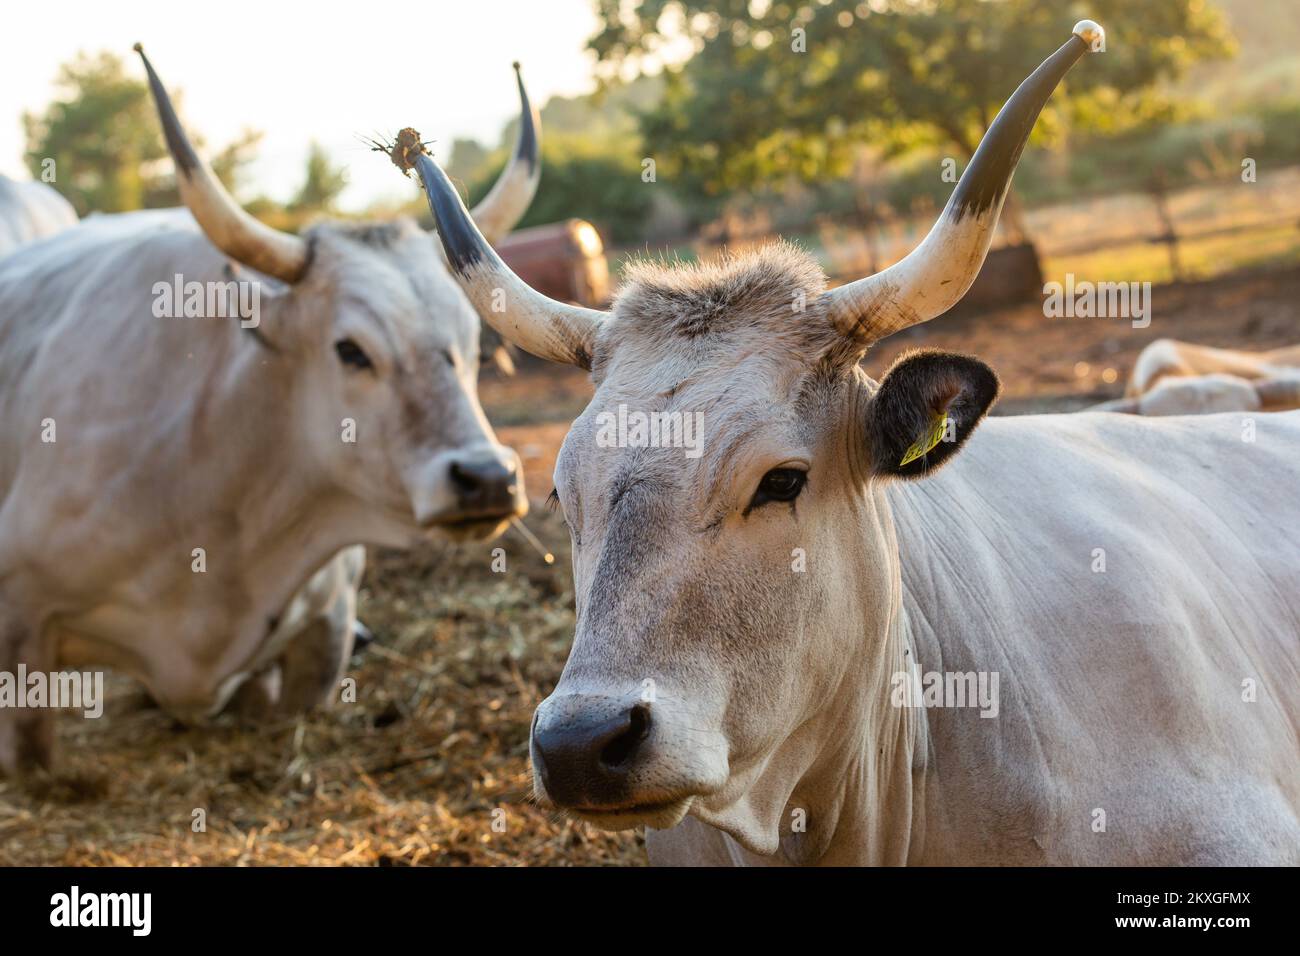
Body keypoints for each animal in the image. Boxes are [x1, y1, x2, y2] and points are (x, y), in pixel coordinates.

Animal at [0, 48, 539, 774]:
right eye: (350, 349)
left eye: (475, 348)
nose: (486, 479)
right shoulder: (21, 624)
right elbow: (32, 755)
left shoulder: (327, 624)